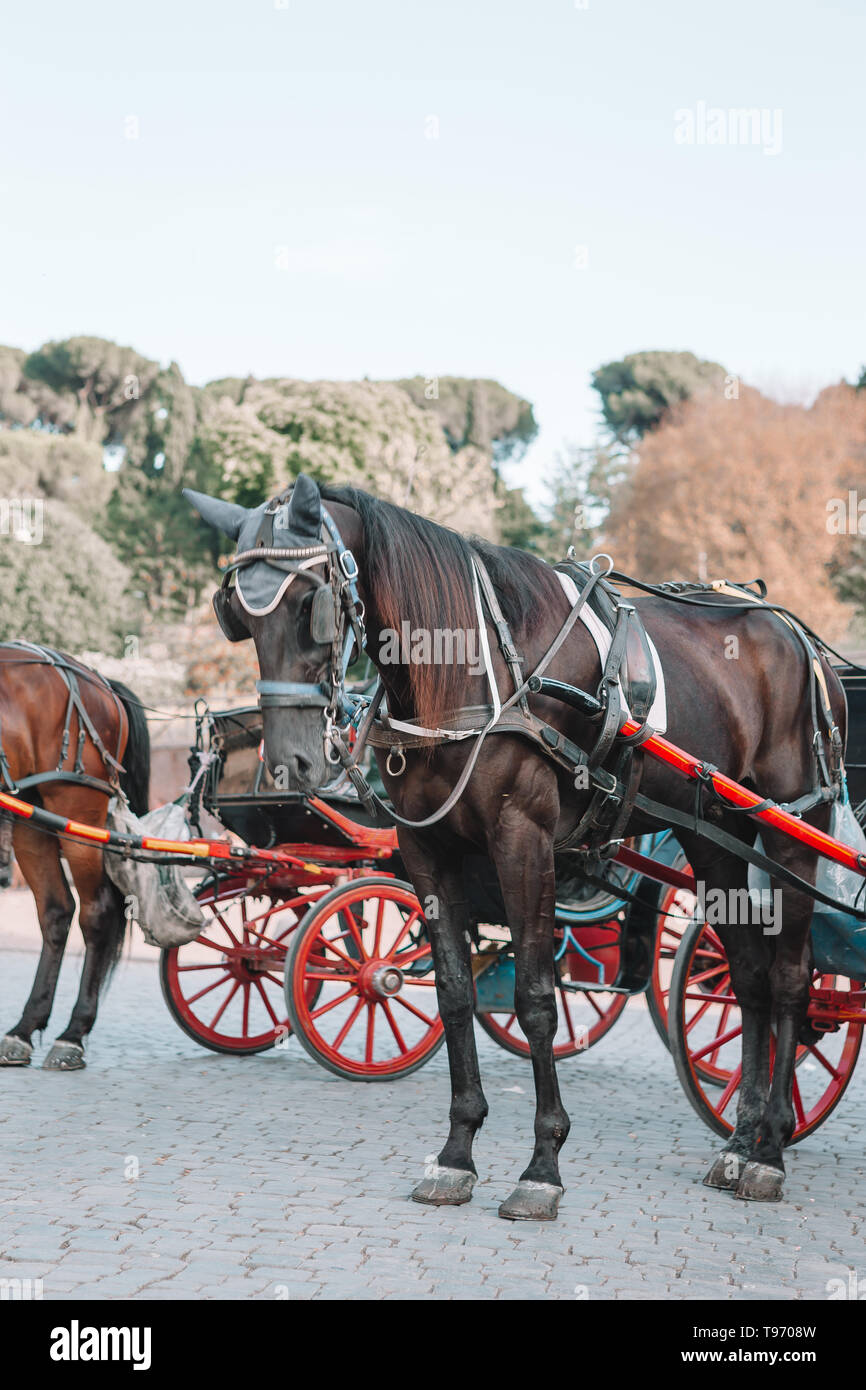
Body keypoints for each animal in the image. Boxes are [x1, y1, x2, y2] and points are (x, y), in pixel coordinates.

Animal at [0, 646, 150, 1069]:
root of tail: (97, 680)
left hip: (77, 811)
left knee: (96, 913)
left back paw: (72, 1035)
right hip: (33, 817)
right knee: (56, 911)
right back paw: (23, 1028)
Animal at [185, 475, 846, 1218]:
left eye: (309, 606)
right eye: (240, 617)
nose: (289, 765)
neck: (474, 671)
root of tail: (796, 635)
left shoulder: (523, 839)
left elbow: (535, 996)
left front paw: (542, 1165)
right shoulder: (426, 850)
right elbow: (452, 992)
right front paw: (456, 1154)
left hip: (794, 829)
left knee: (790, 976)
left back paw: (768, 1151)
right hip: (715, 837)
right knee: (750, 975)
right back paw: (742, 1140)